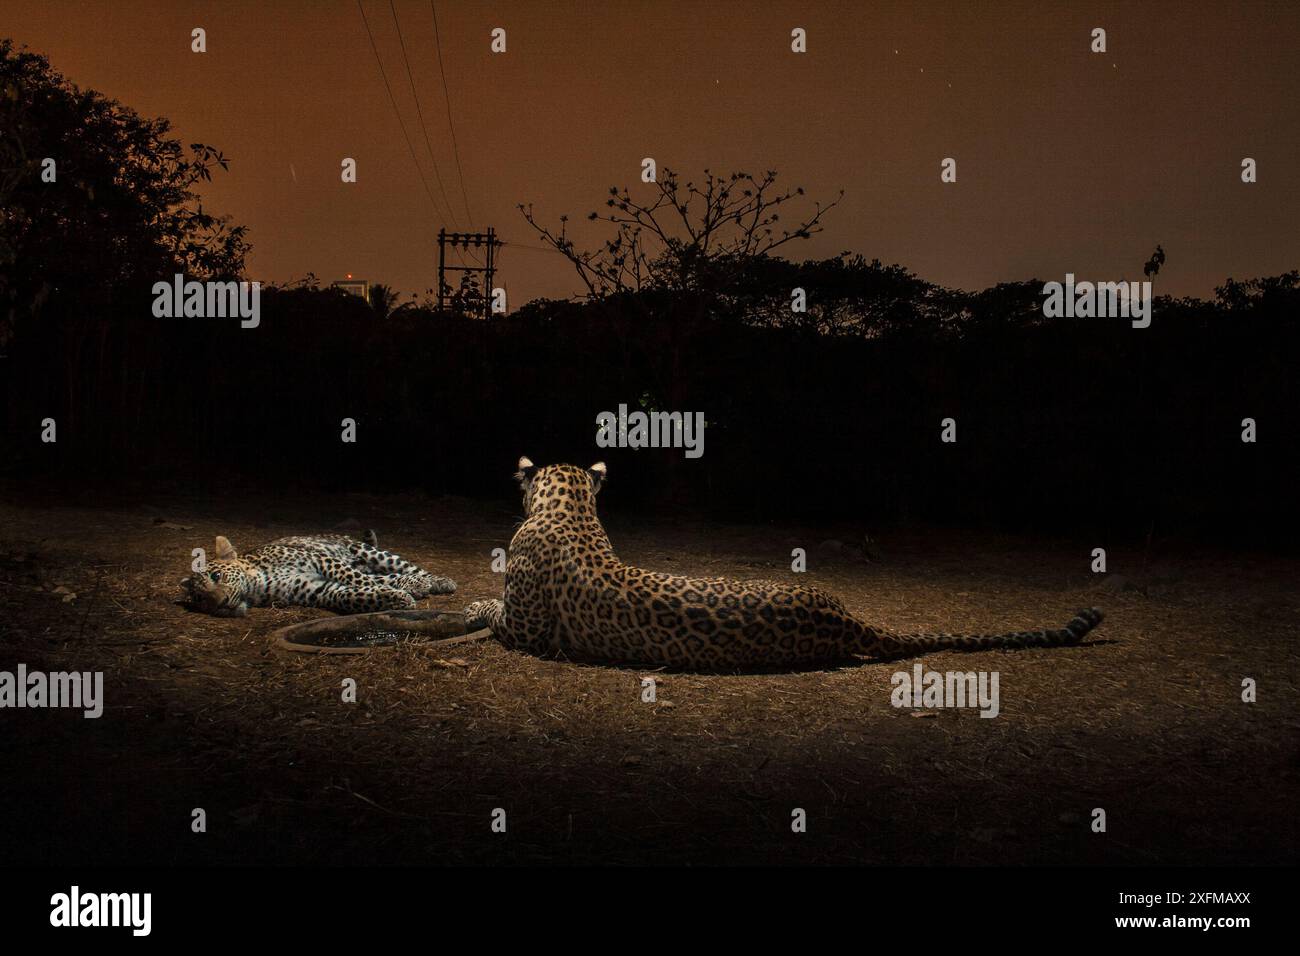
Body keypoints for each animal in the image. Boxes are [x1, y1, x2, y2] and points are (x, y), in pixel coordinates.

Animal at [182, 532, 456, 618]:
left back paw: (439, 581)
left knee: (406, 568)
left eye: (216, 577)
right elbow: (350, 595)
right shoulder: (315, 589)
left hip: (369, 552)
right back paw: (415, 585)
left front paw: (399, 594)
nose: (221, 603)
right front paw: (394, 598)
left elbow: (357, 580)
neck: (258, 582)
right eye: (201, 600)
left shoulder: (322, 561)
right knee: (385, 576)